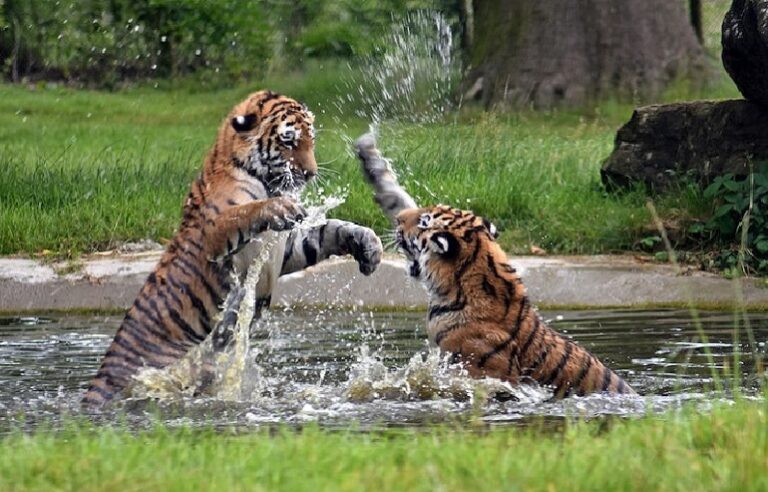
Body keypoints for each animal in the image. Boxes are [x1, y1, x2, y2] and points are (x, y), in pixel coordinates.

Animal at [81, 91, 383, 406]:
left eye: (310, 140)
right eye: (289, 141)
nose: (310, 173)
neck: (263, 181)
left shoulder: (288, 248)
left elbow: (330, 230)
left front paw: (368, 245)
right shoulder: (214, 235)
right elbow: (244, 212)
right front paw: (279, 206)